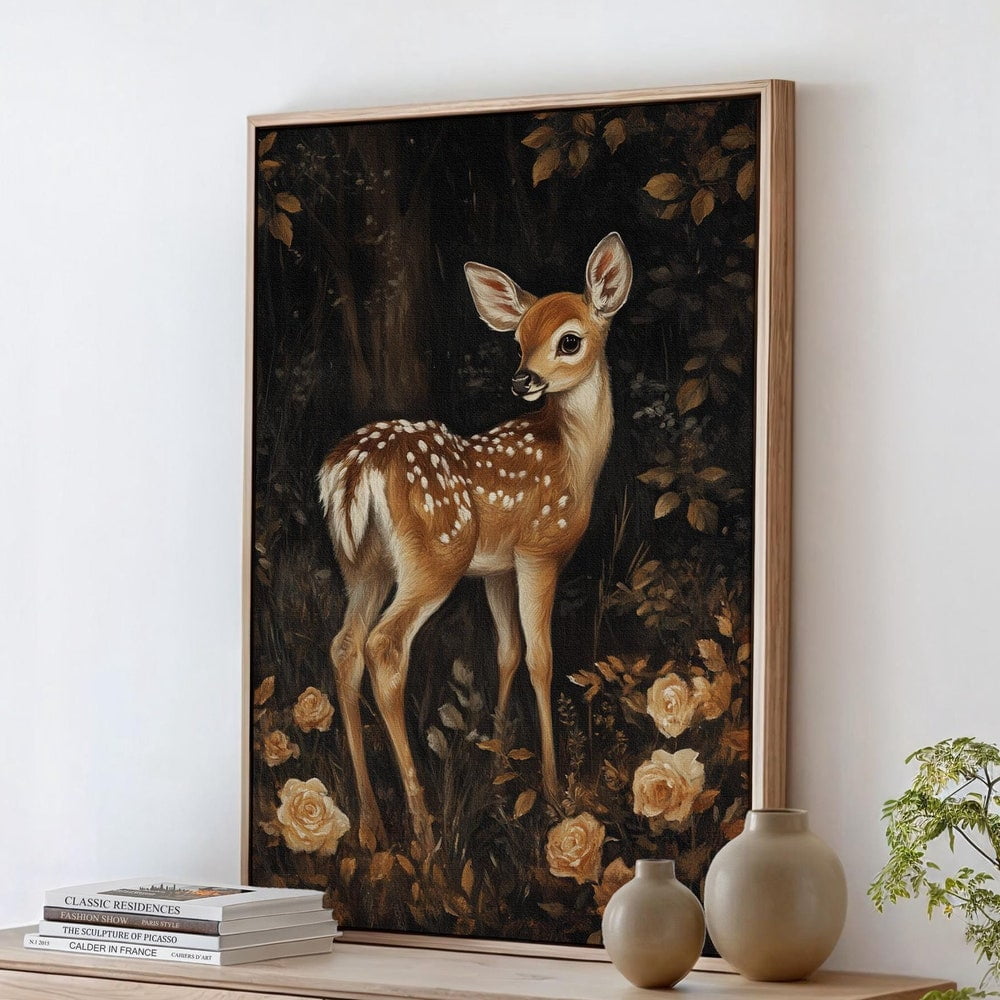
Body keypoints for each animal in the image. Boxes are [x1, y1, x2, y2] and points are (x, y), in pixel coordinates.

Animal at [318, 233, 632, 849]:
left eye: (568, 339)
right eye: (519, 340)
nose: (523, 379)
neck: (574, 457)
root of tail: (355, 470)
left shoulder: (498, 568)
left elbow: (506, 651)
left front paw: (497, 764)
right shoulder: (539, 549)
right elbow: (540, 657)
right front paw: (553, 792)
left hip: (363, 564)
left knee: (344, 645)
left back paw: (369, 824)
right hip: (435, 556)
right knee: (384, 646)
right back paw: (423, 829)